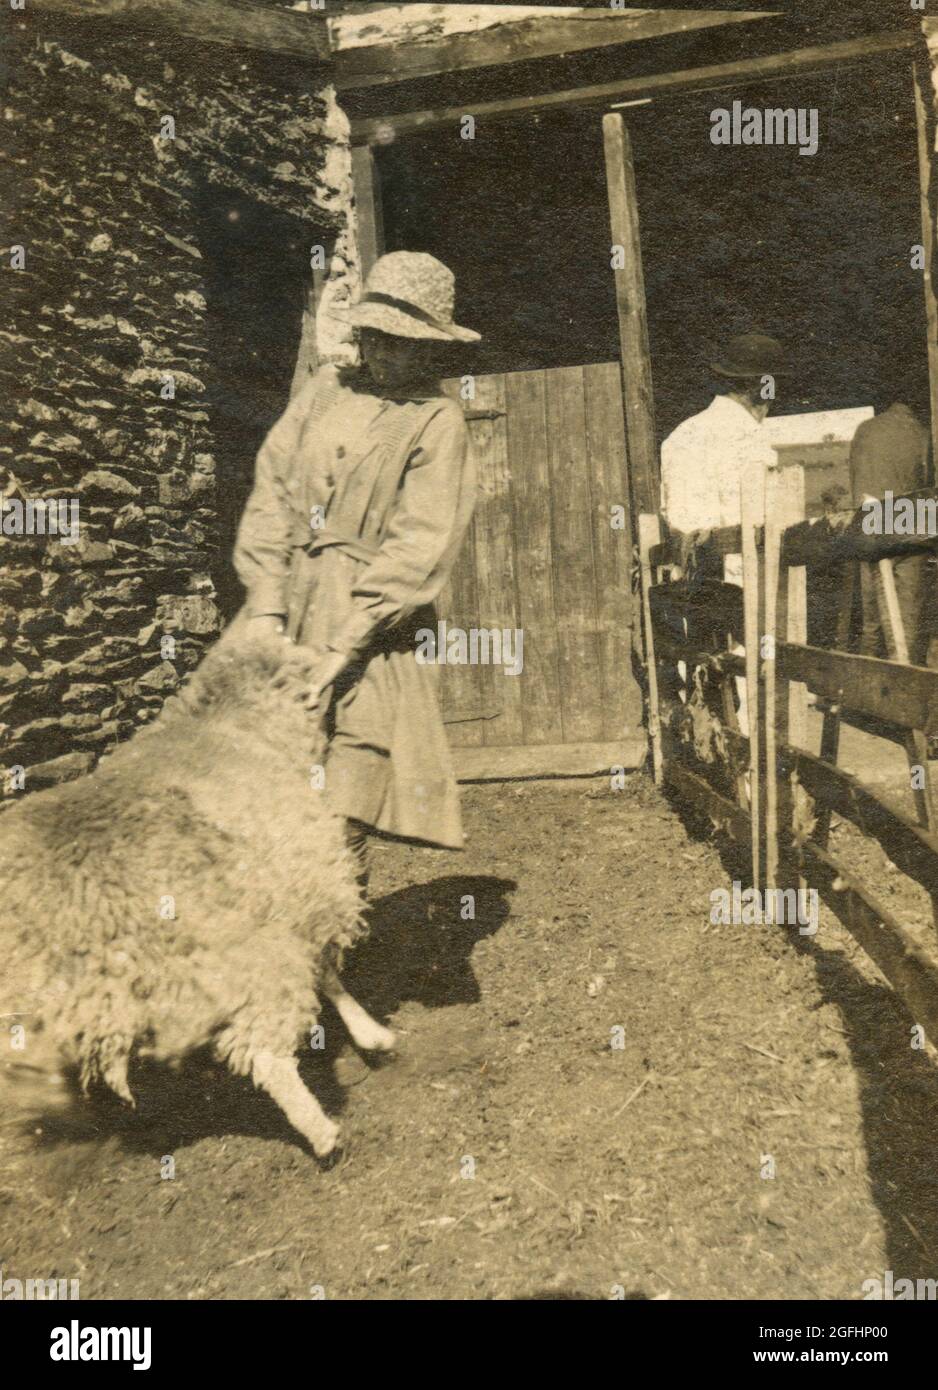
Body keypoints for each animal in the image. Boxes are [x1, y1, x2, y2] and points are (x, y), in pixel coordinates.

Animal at [0, 630, 396, 1158]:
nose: (344, 652)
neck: (238, 725)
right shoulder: (297, 887)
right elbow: (327, 972)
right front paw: (370, 1034)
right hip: (231, 952)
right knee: (264, 1052)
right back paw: (321, 1132)